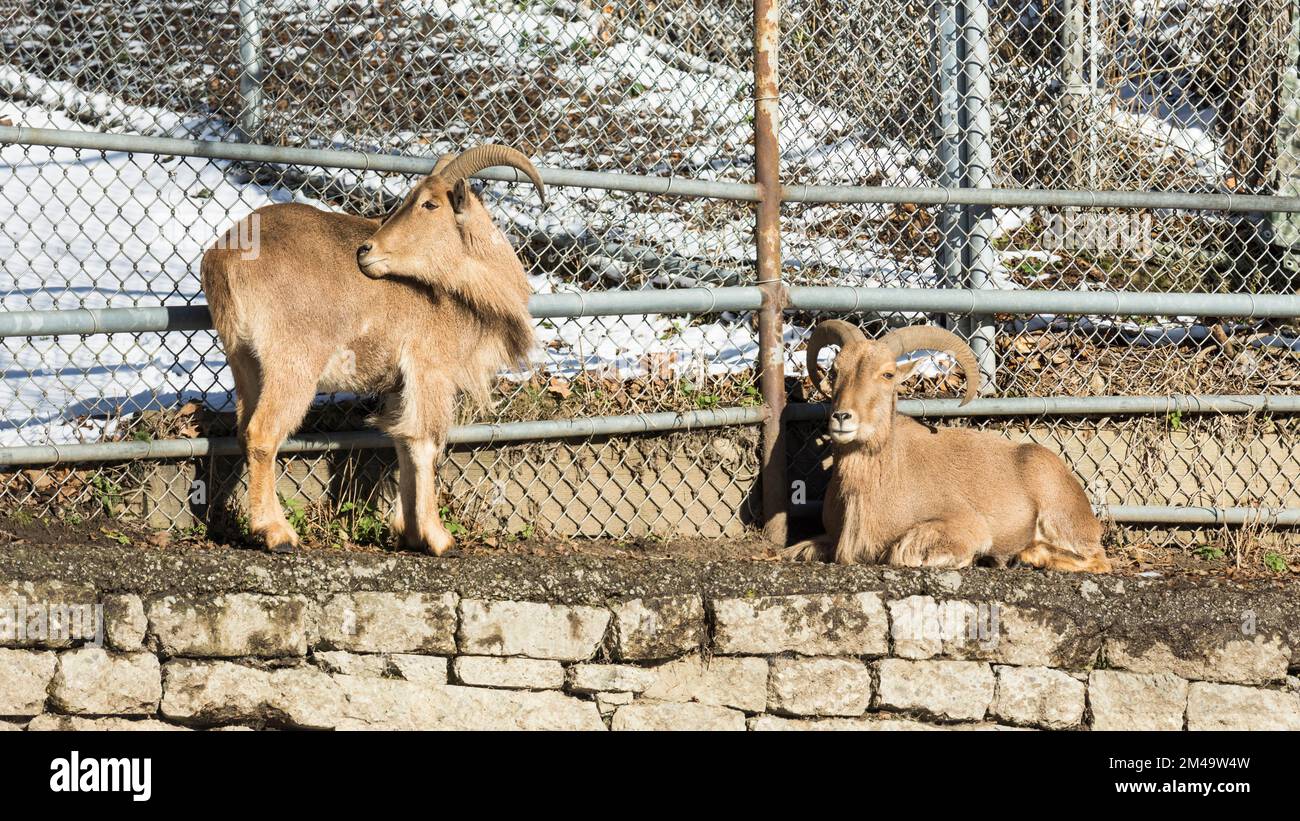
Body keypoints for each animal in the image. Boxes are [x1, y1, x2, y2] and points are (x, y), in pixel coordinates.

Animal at [201, 145, 545, 554]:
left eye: (429, 204)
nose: (366, 251)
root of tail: (224, 257)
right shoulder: (430, 369)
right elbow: (427, 442)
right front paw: (439, 538)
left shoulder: (400, 384)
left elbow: (404, 442)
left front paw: (409, 533)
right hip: (293, 364)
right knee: (262, 434)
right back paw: (276, 533)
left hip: (245, 361)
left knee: (243, 431)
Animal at [785, 320, 1111, 572]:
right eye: (835, 371)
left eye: (888, 374)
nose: (842, 417)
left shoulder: (964, 525)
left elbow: (902, 553)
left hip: (1063, 517)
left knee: (1098, 559)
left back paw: (1022, 558)